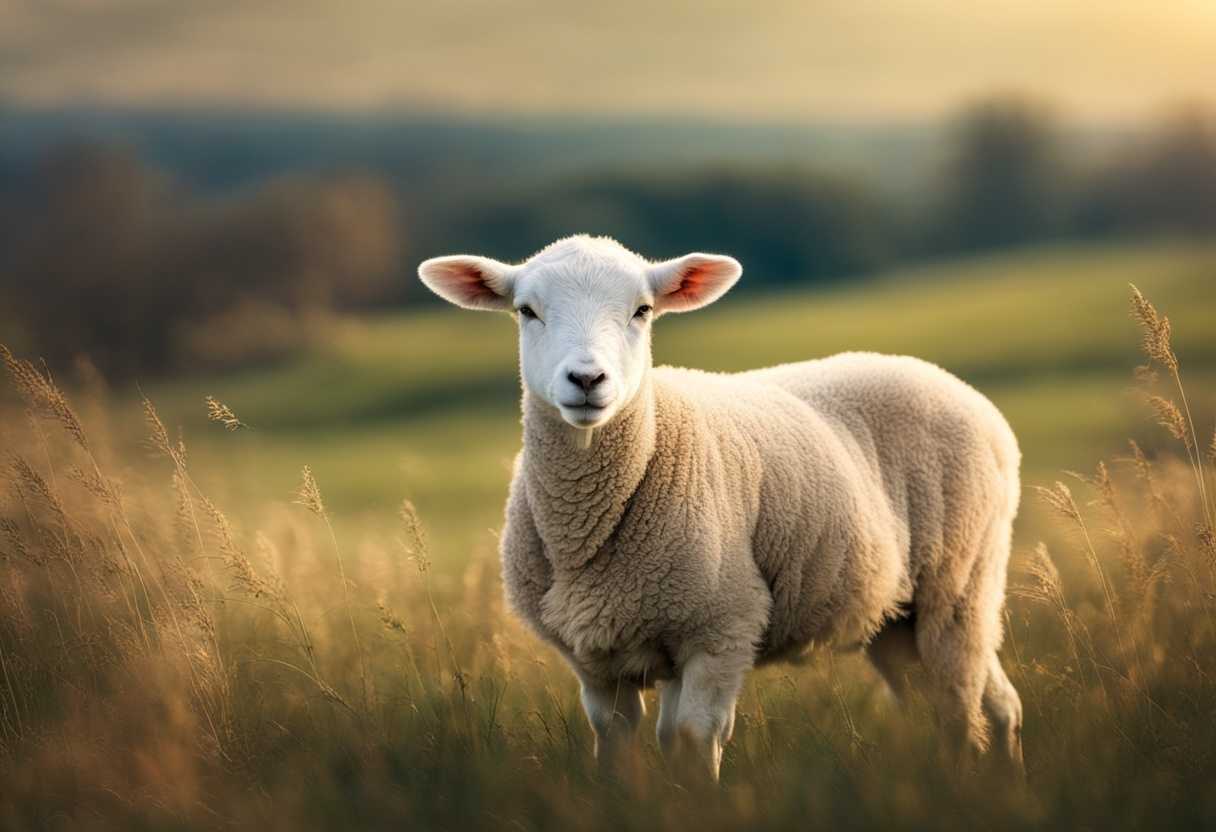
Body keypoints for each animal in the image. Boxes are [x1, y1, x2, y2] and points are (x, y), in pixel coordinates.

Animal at [418, 234, 1023, 781]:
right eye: (527, 311)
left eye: (642, 310)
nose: (587, 380)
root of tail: (957, 387)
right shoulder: (597, 658)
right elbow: (620, 741)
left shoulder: (721, 626)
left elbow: (691, 739)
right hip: (896, 618)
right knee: (983, 704)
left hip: (959, 584)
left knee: (959, 708)